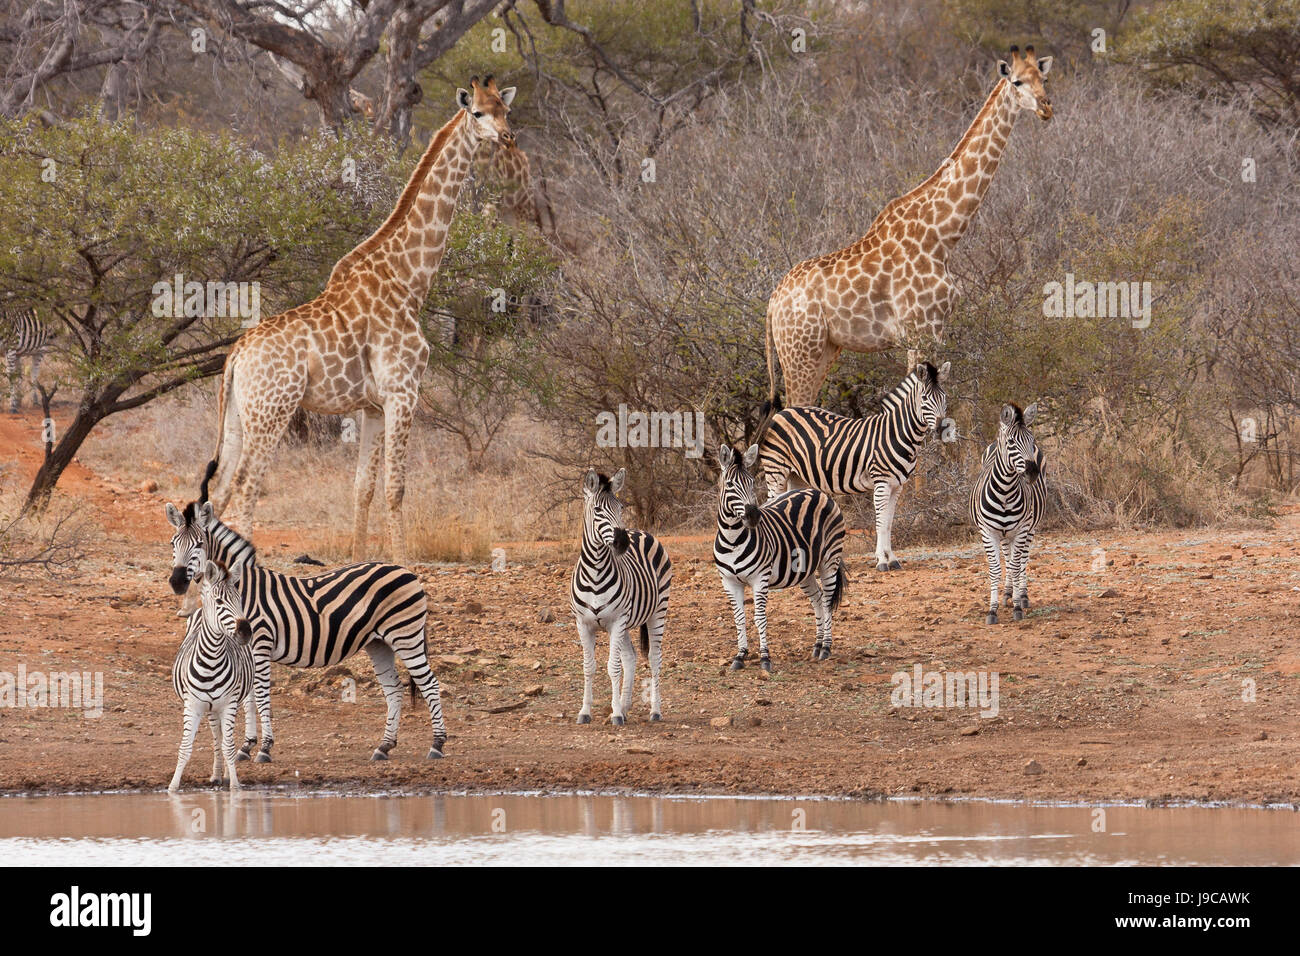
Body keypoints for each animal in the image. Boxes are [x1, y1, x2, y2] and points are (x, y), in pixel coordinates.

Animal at [204, 76, 517, 567]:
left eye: (505, 109)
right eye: (478, 113)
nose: (506, 137)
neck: (409, 280)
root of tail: (236, 353)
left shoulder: (371, 405)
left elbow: (362, 488)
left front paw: (357, 560)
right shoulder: (403, 392)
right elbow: (396, 488)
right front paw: (405, 563)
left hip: (238, 414)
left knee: (218, 490)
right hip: (272, 413)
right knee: (245, 484)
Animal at [765, 46, 1053, 407]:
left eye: (1044, 79)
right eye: (1016, 82)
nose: (1046, 107)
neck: (942, 234)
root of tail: (772, 303)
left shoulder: (935, 330)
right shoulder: (921, 329)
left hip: (825, 350)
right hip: (800, 351)